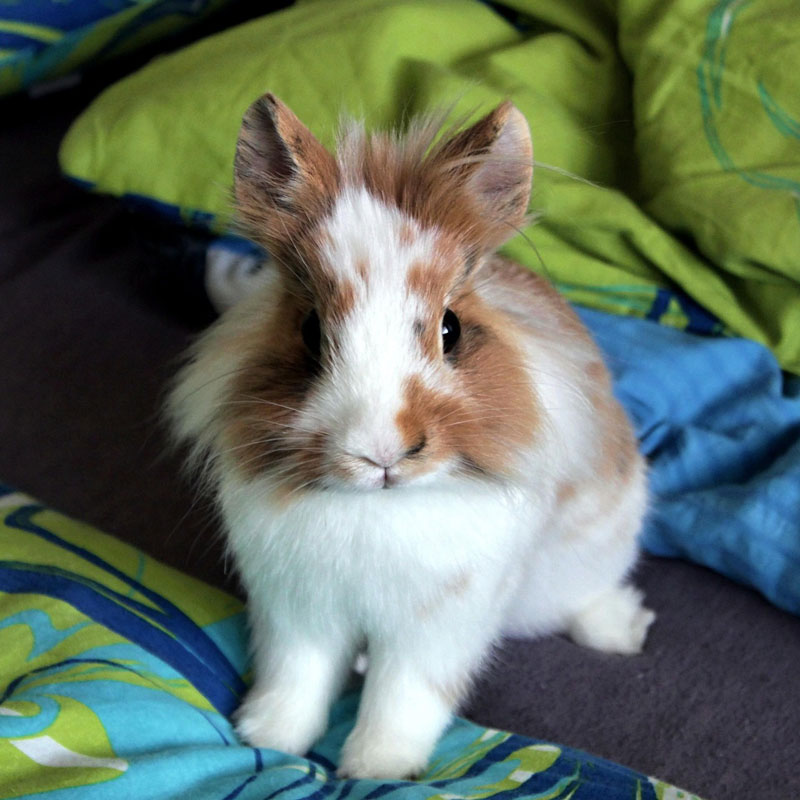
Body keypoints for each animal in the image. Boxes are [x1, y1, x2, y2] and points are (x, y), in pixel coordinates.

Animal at [166, 93, 655, 781]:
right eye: (310, 331)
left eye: (451, 328)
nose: (382, 453)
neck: (376, 508)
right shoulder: (296, 611)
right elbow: (297, 678)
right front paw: (267, 738)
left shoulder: (437, 628)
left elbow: (405, 697)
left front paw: (377, 769)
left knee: (587, 596)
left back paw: (623, 629)